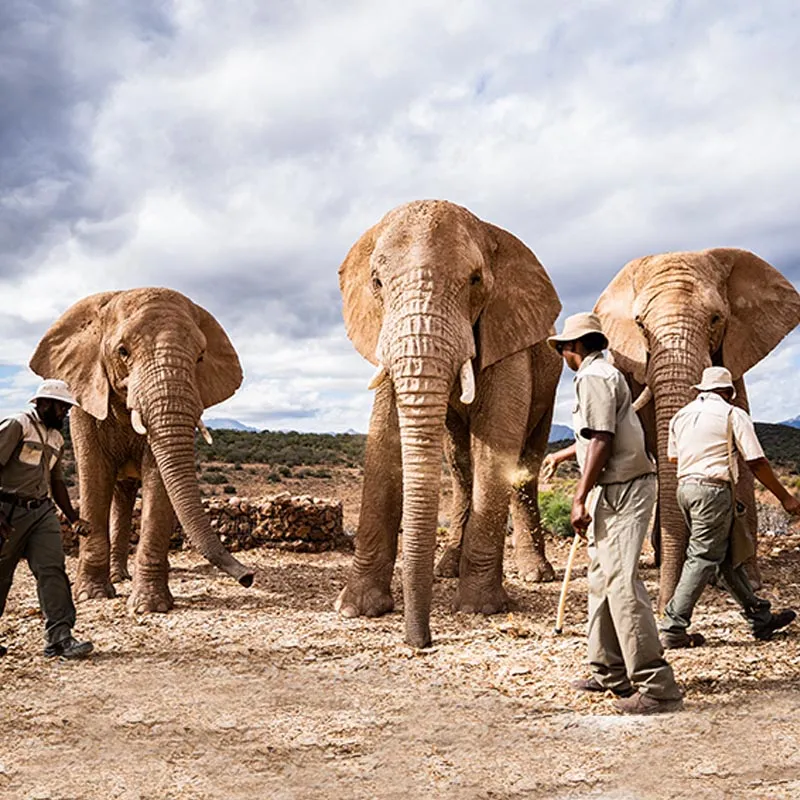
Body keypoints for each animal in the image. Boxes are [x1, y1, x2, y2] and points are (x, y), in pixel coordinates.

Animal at [30, 288, 255, 613]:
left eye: (200, 357)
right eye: (123, 351)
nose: (248, 577)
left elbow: (158, 478)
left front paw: (150, 606)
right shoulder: (85, 395)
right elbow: (94, 474)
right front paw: (92, 596)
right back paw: (116, 578)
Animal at [335, 199, 563, 647]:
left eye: (476, 280)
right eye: (377, 282)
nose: (420, 641)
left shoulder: (506, 333)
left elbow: (497, 440)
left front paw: (481, 609)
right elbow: (384, 437)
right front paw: (356, 609)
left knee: (524, 462)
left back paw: (535, 575)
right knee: (459, 464)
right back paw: (446, 569)